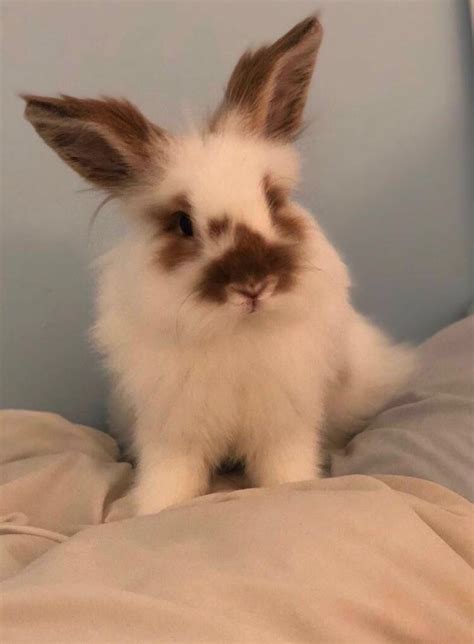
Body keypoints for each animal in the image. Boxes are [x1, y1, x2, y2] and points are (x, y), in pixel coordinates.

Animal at [22, 15, 415, 516]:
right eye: (183, 223)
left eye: (273, 200)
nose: (253, 285)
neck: (235, 333)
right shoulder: (172, 433)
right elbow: (169, 483)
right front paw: (150, 512)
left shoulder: (284, 425)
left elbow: (285, 472)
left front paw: (299, 490)